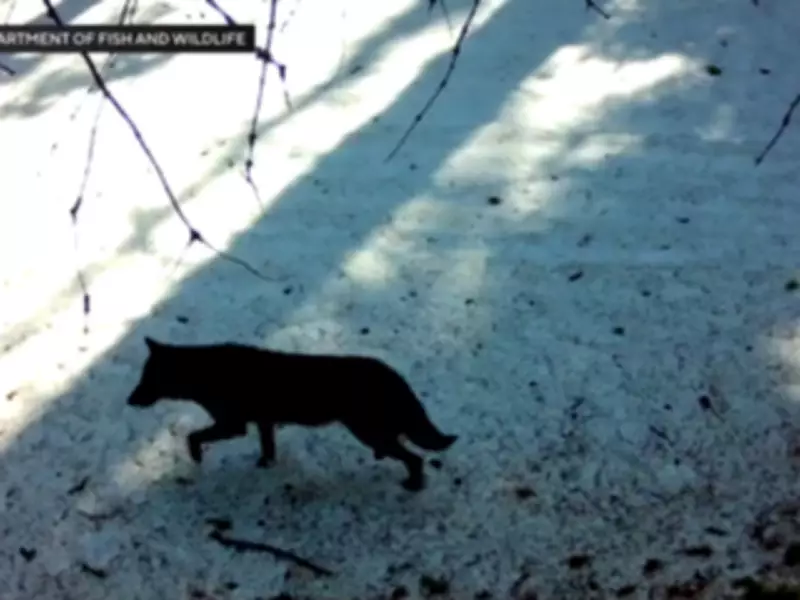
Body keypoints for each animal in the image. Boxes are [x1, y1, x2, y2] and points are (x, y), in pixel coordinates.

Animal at [126, 337, 457, 491]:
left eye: (146, 378)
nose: (129, 400)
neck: (203, 372)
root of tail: (392, 375)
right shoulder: (263, 422)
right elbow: (268, 449)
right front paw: (265, 466)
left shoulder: (233, 425)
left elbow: (192, 436)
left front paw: (195, 457)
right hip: (376, 432)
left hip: (367, 431)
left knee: (415, 458)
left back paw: (413, 486)